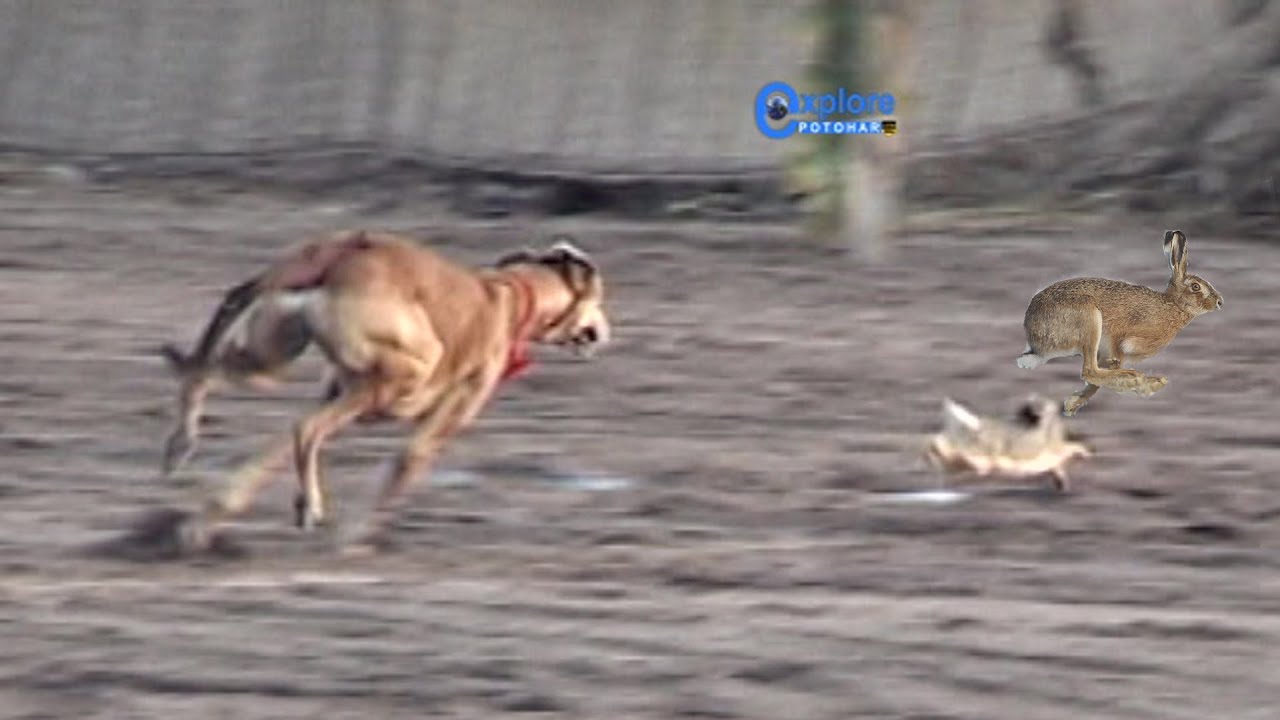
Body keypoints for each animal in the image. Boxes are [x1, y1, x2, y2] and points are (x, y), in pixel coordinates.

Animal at [1015, 230, 1223, 416]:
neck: (1174, 305)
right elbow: (1108, 369)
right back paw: (1134, 378)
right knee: (1089, 371)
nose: (1220, 302)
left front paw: (1072, 404)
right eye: (1195, 287)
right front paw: (1139, 383)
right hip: (1088, 320)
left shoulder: (1107, 354)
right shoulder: (1118, 340)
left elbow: (1095, 384)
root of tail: (1035, 342)